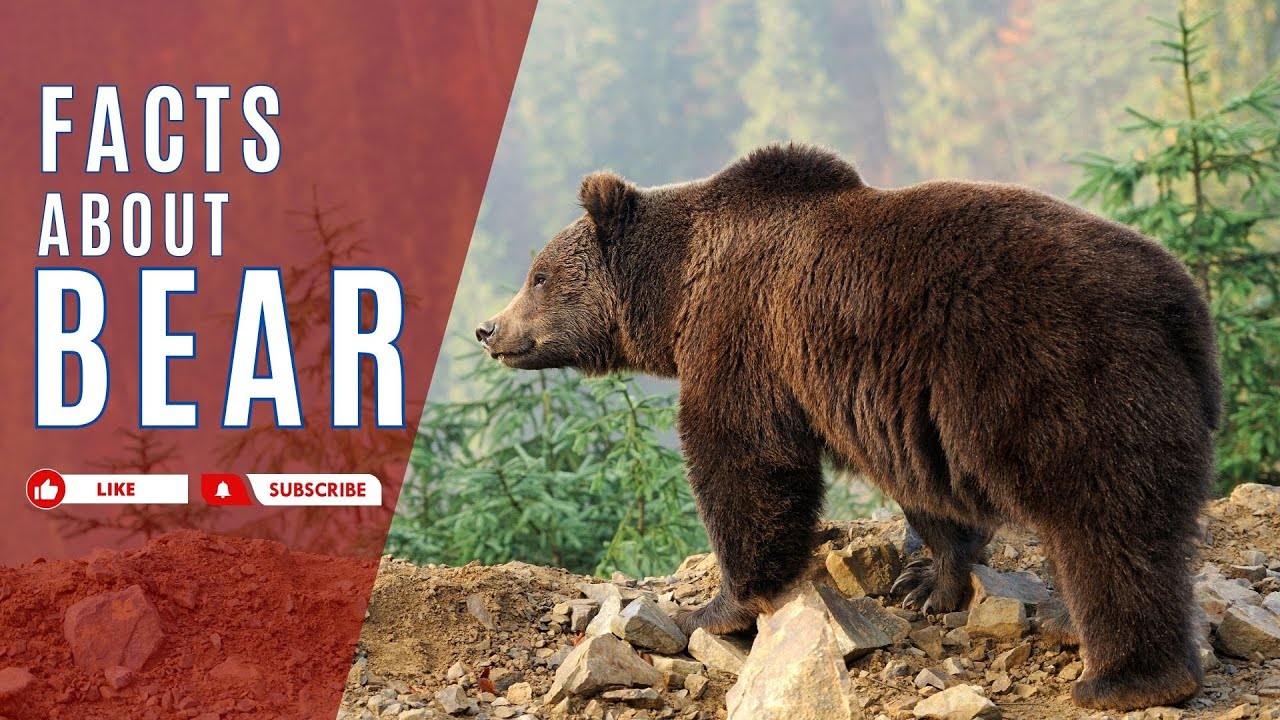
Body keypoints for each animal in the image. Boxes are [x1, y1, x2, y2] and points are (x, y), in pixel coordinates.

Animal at [475, 143, 1220, 711]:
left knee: (1105, 528)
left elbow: (743, 461)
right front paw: (928, 582)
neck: (678, 290)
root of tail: (1178, 300)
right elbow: (924, 493)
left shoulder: (745, 335)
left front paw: (716, 608)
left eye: (539, 275)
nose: (489, 329)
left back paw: (1122, 678)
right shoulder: (898, 405)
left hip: (1061, 379)